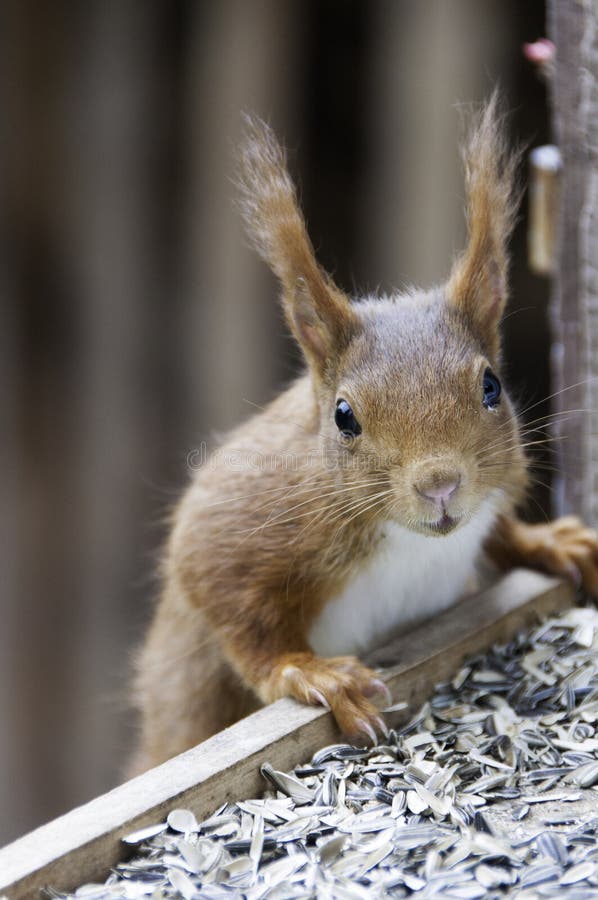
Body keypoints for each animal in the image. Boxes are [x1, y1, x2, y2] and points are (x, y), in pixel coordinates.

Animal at [130, 92, 598, 774]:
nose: (440, 485)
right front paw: (311, 673)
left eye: (492, 386)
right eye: (344, 415)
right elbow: (227, 598)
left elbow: (501, 531)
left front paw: (550, 542)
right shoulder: (238, 515)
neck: (410, 540)